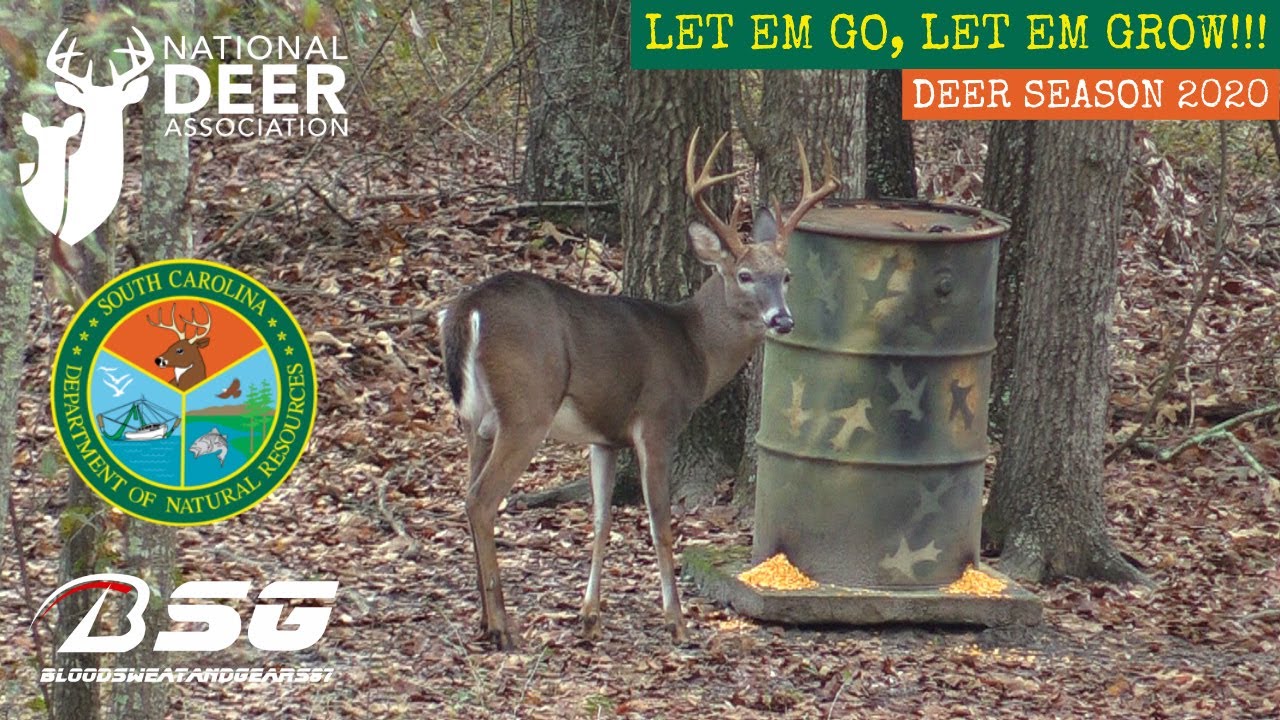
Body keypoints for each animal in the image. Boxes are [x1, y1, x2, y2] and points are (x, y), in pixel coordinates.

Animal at [440, 129, 839, 650]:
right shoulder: (656, 420)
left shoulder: (604, 438)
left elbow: (601, 520)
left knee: (467, 495)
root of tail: (466, 309)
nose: (783, 320)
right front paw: (677, 621)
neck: (694, 346)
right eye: (745, 275)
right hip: (527, 408)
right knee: (481, 500)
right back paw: (504, 628)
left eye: (786, 276)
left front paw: (589, 617)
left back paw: (485, 621)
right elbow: (660, 523)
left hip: (476, 419)